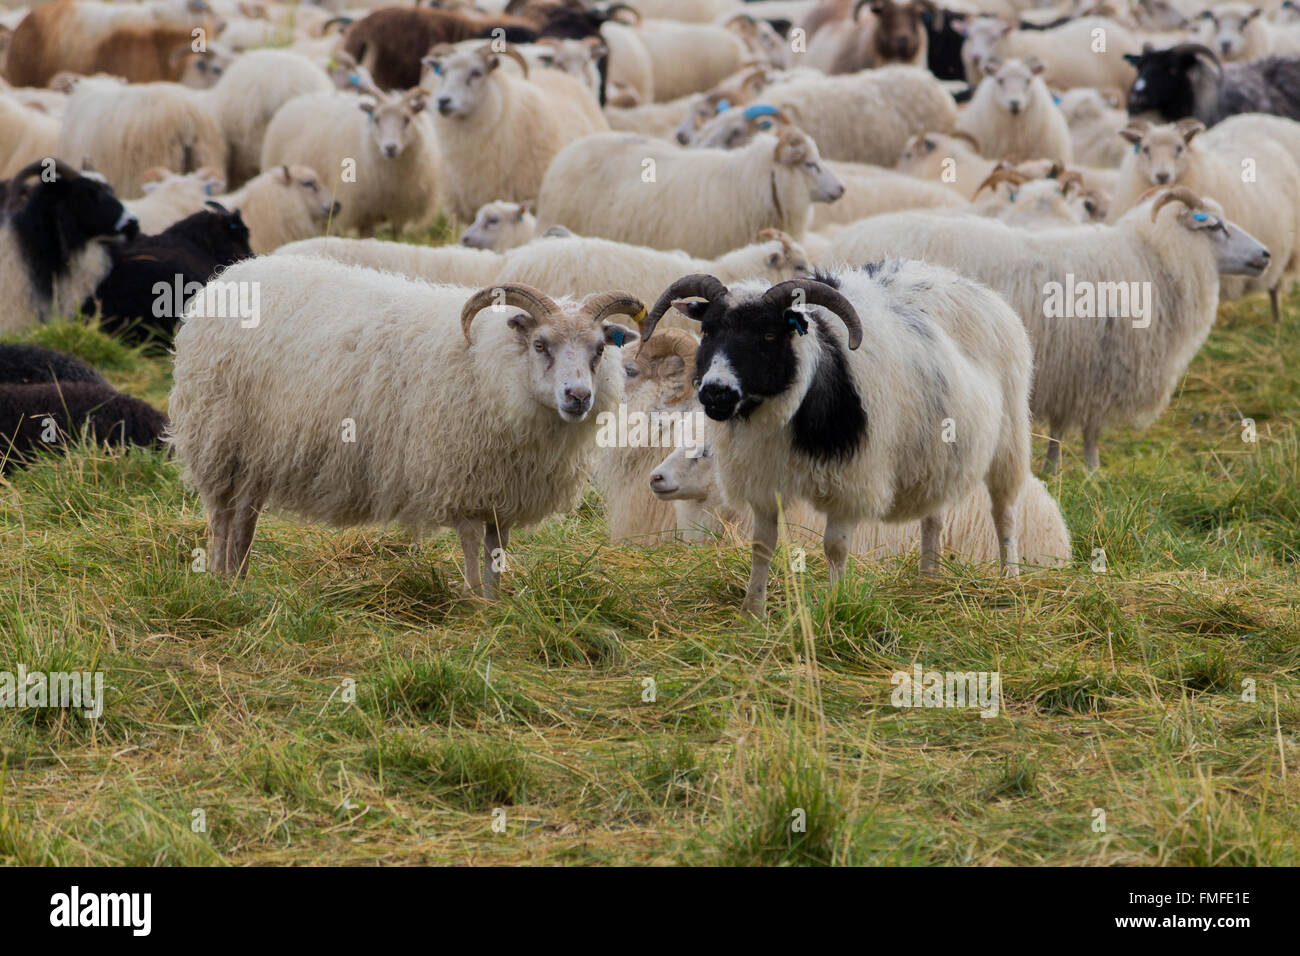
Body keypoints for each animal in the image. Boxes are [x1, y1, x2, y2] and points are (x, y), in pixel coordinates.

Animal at [168, 259, 644, 591]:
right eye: (542, 344)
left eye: (599, 349)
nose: (578, 397)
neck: (491, 365)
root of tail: (229, 277)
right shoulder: (460, 479)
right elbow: (473, 546)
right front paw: (474, 598)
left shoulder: (502, 490)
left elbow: (498, 550)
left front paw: (496, 602)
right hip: (218, 438)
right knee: (222, 515)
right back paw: (220, 578)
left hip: (259, 448)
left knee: (245, 515)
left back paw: (239, 577)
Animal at [260, 88, 441, 237]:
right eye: (376, 119)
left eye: (407, 119)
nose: (390, 148)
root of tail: (302, 97)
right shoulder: (363, 212)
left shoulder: (401, 210)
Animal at [638, 264, 1033, 615]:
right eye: (707, 331)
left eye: (768, 335)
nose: (715, 392)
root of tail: (969, 284)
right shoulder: (763, 480)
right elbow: (762, 545)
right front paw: (752, 612)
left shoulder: (852, 481)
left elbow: (835, 548)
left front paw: (834, 604)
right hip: (936, 455)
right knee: (933, 518)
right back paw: (927, 580)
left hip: (1010, 437)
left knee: (1004, 512)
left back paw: (1009, 578)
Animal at [829, 186, 1273, 471]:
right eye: (1214, 226)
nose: (1266, 254)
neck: (1153, 262)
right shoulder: (1095, 369)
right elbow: (1091, 428)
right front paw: (1092, 471)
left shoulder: (1072, 371)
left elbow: (1061, 426)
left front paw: (1054, 467)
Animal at [1109, 117, 1300, 320]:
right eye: (1145, 149)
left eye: (1180, 148)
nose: (1162, 176)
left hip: (1286, 246)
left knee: (1275, 287)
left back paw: (1277, 320)